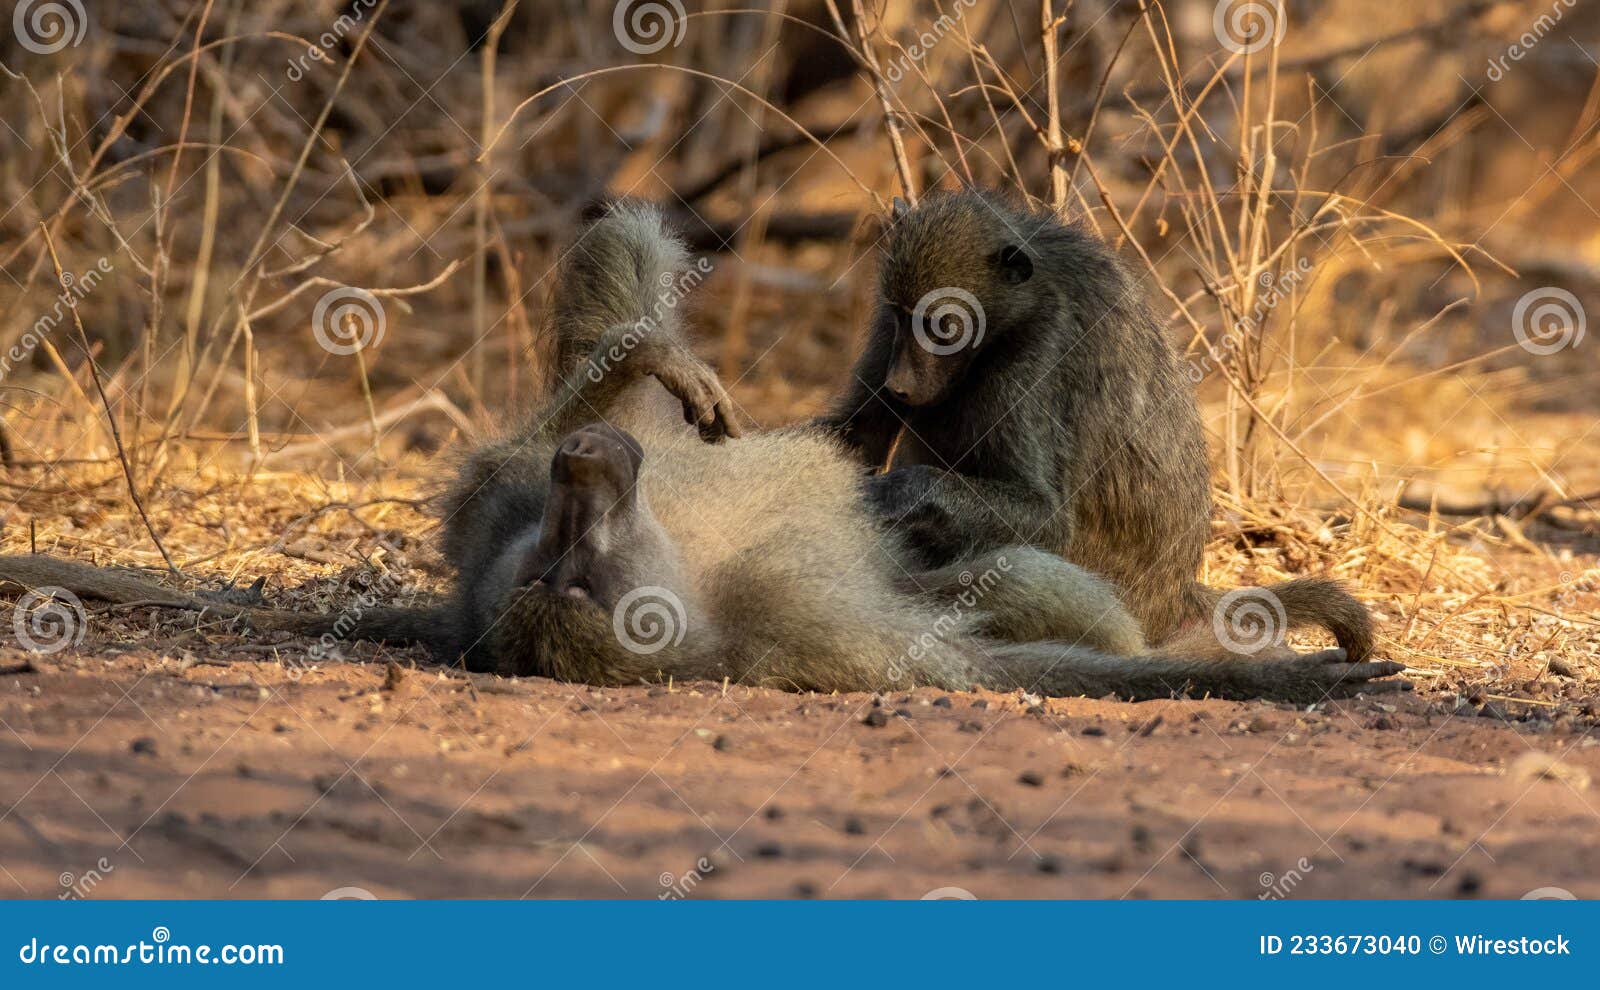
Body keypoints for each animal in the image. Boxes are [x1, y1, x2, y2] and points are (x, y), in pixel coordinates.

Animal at [817, 189, 1375, 660]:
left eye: (943, 327)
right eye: (902, 315)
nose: (900, 387)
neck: (1018, 305)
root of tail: (1175, 597)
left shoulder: (1035, 352)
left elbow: (1047, 517)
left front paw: (893, 493)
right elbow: (860, 432)